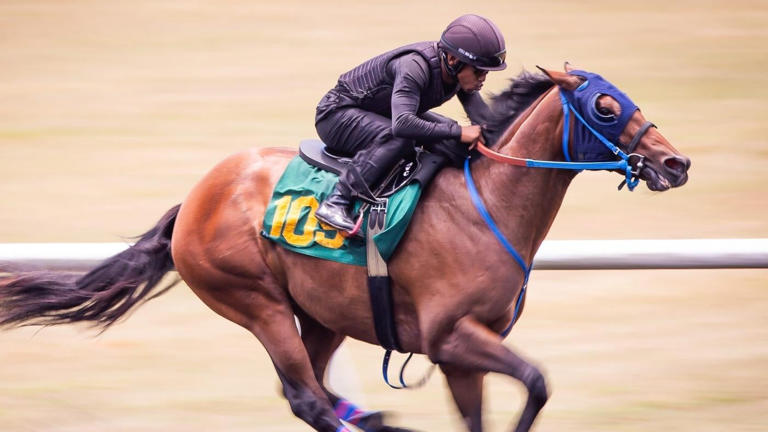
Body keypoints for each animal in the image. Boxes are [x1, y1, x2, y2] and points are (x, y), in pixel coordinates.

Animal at [0, 64, 690, 432]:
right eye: (607, 105)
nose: (675, 163)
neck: (486, 205)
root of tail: (192, 200)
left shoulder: (461, 355)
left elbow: (488, 411)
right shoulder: (451, 337)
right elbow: (538, 381)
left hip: (324, 313)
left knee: (308, 388)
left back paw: (375, 418)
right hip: (255, 301)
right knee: (305, 396)